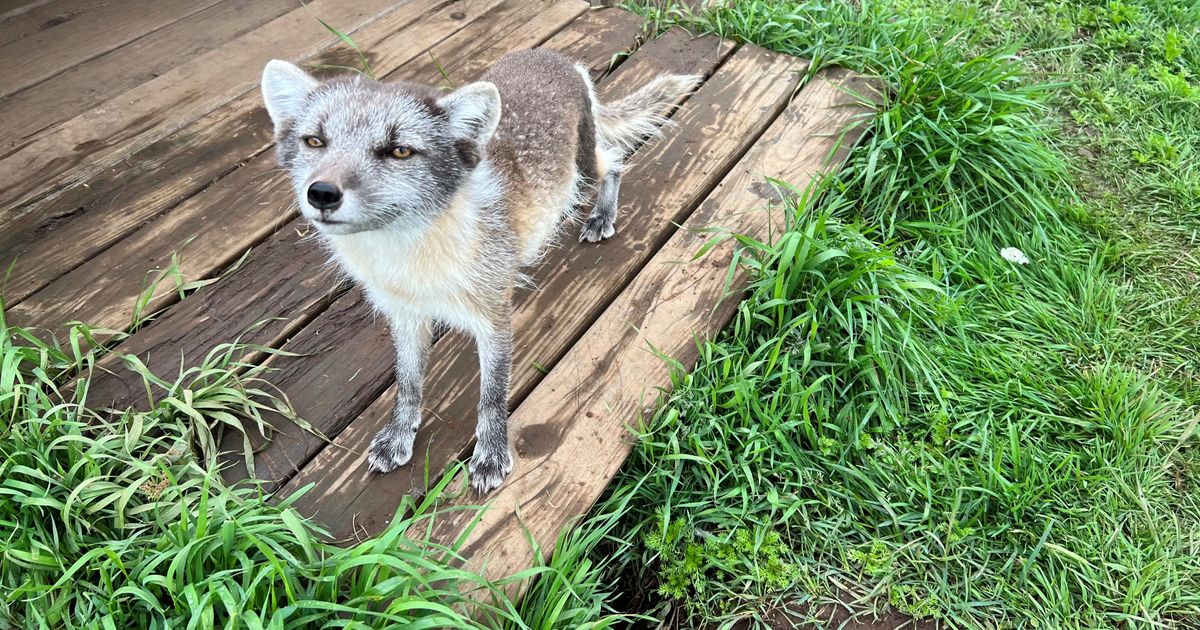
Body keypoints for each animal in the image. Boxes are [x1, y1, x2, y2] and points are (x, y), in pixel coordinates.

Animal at [260, 48, 699, 493]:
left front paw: (490, 454)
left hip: (585, 164)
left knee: (615, 161)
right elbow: (408, 385)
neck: (412, 263)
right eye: (315, 141)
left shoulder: (495, 319)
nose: (321, 193)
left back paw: (602, 215)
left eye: (399, 151)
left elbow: (492, 397)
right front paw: (400, 435)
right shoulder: (405, 318)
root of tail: (555, 57)